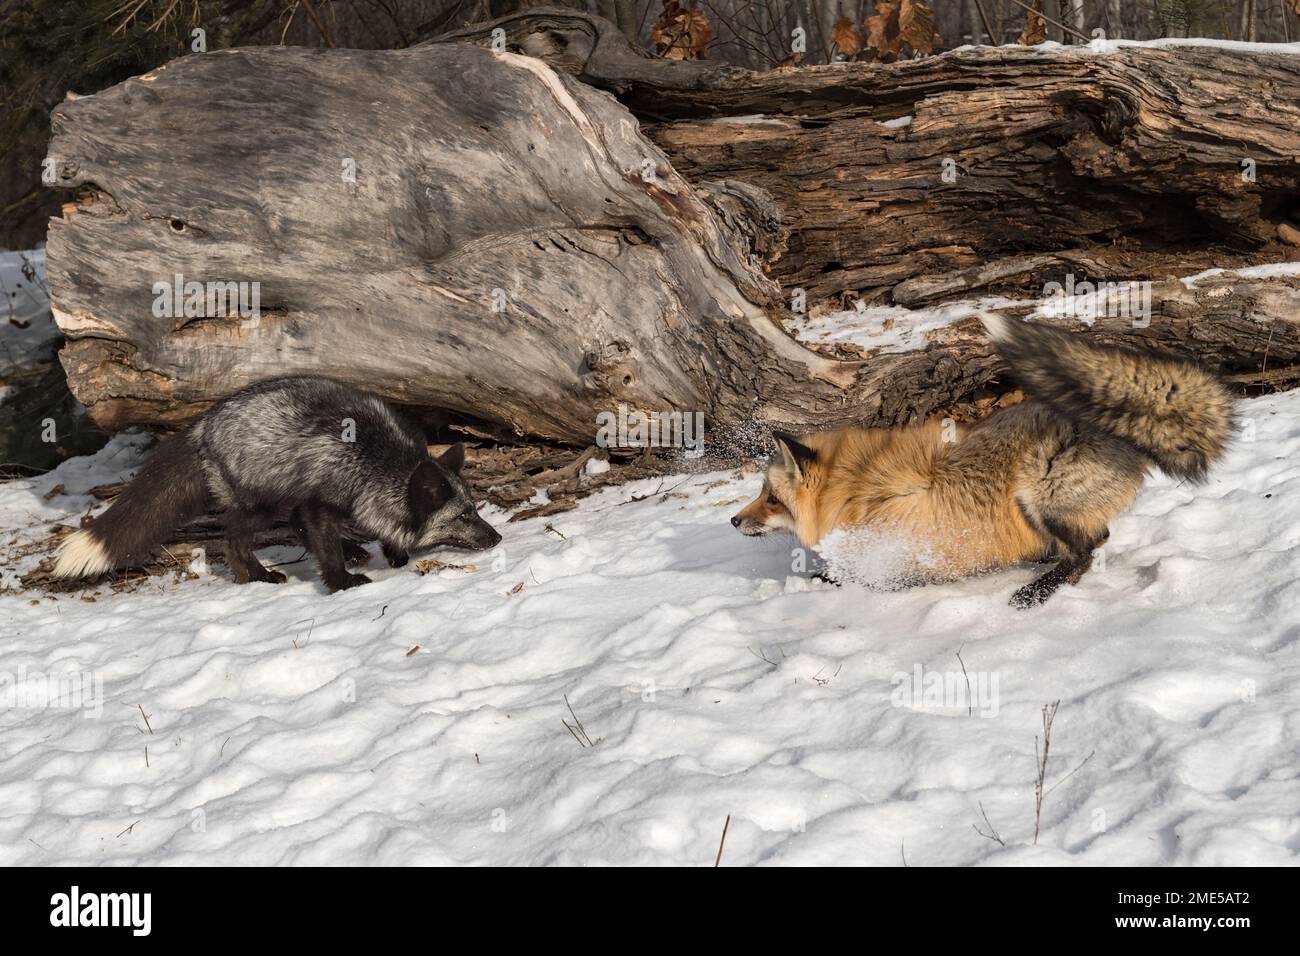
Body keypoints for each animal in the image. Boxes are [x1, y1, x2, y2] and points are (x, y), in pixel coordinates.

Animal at [52, 377, 501, 593]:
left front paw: (392, 554)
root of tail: (201, 426)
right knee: (233, 536)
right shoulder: (321, 500)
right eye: (462, 516)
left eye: (474, 507)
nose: (496, 538)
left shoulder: (321, 501)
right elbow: (323, 544)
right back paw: (258, 575)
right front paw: (340, 582)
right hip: (262, 504)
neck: (375, 462)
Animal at [732, 315, 1235, 608]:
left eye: (771, 498)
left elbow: (866, 579)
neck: (853, 488)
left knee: (1090, 549)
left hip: (1039, 495)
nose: (733, 522)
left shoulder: (903, 551)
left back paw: (1037, 590)